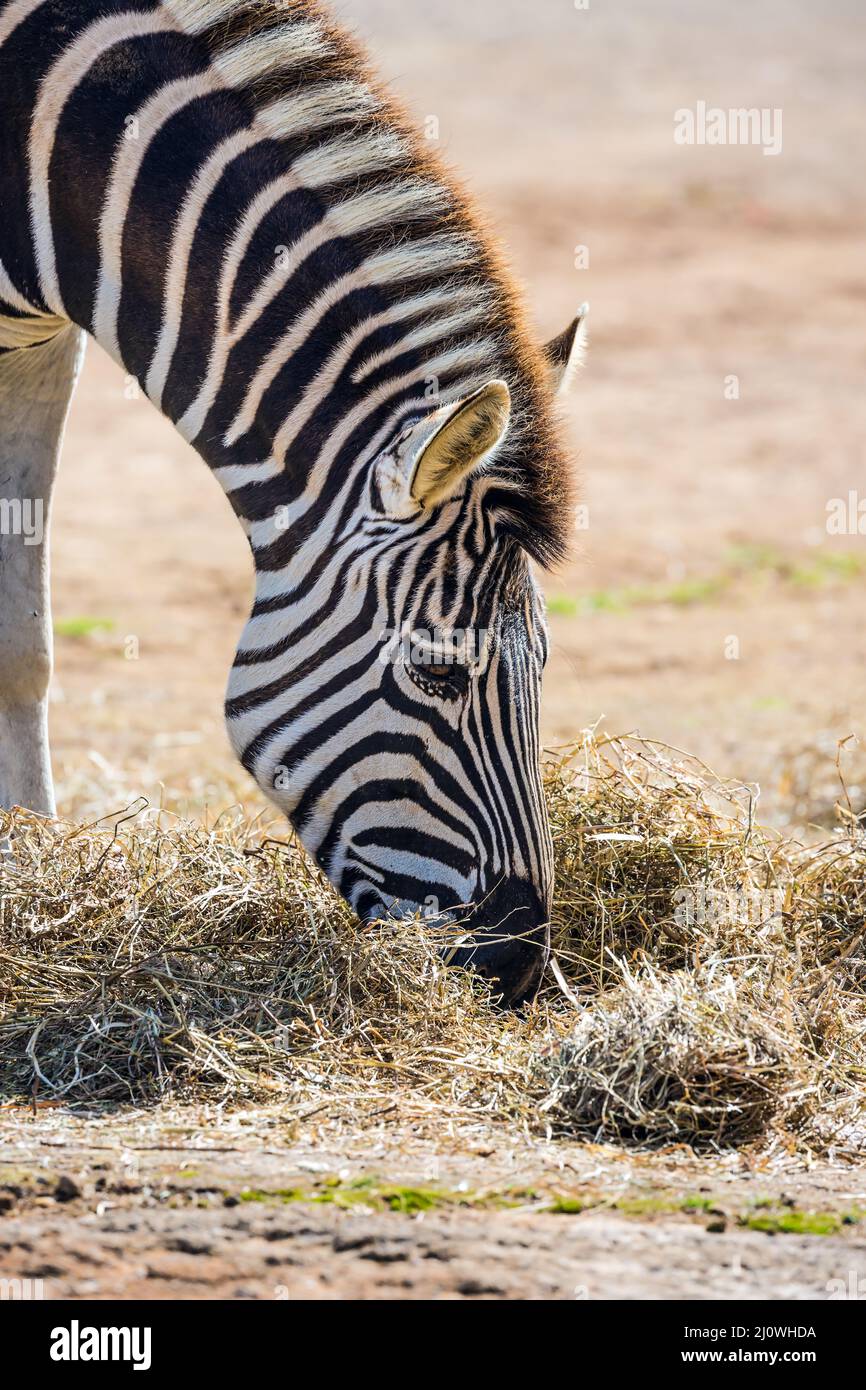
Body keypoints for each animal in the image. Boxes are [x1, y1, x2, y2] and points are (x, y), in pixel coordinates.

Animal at [0, 0, 587, 1005]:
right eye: (436, 672)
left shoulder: (41, 344)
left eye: (544, 665)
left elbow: (22, 644)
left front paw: (30, 857)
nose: (518, 968)